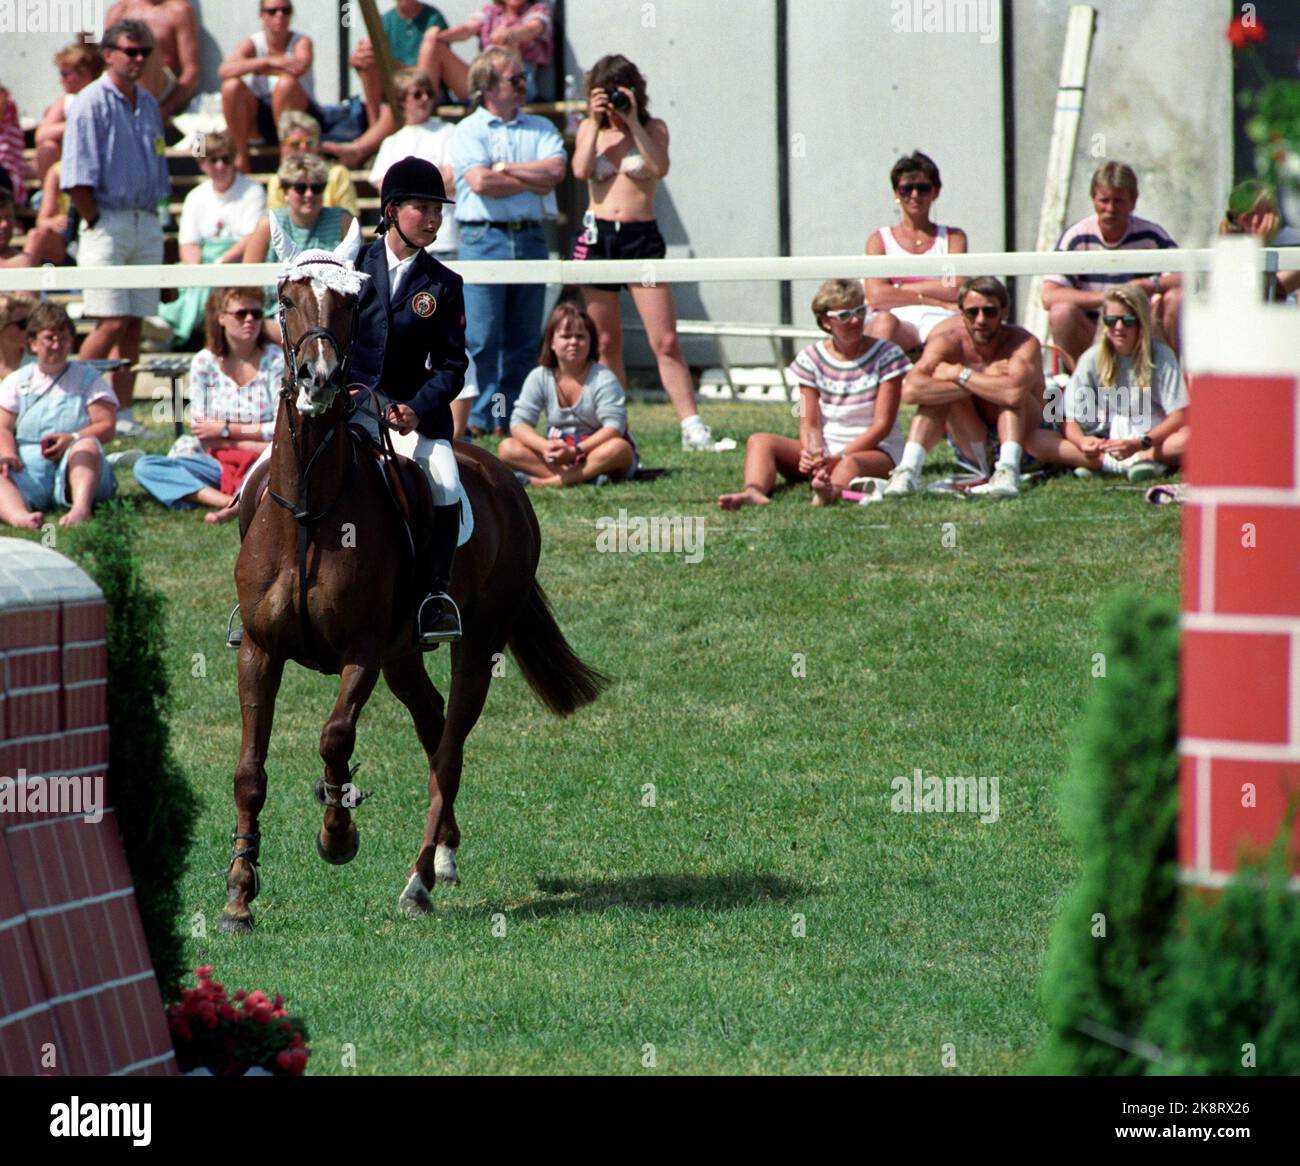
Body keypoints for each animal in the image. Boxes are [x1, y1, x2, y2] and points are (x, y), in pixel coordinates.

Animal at [219, 223, 607, 933]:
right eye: (285, 301)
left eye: (350, 305)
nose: (321, 380)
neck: (313, 510)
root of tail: (504, 477)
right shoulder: (259, 651)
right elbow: (249, 772)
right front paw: (238, 894)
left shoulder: (362, 651)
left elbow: (335, 737)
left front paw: (337, 835)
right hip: (403, 657)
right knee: (432, 724)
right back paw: (446, 854)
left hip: (475, 644)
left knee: (449, 744)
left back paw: (420, 880)